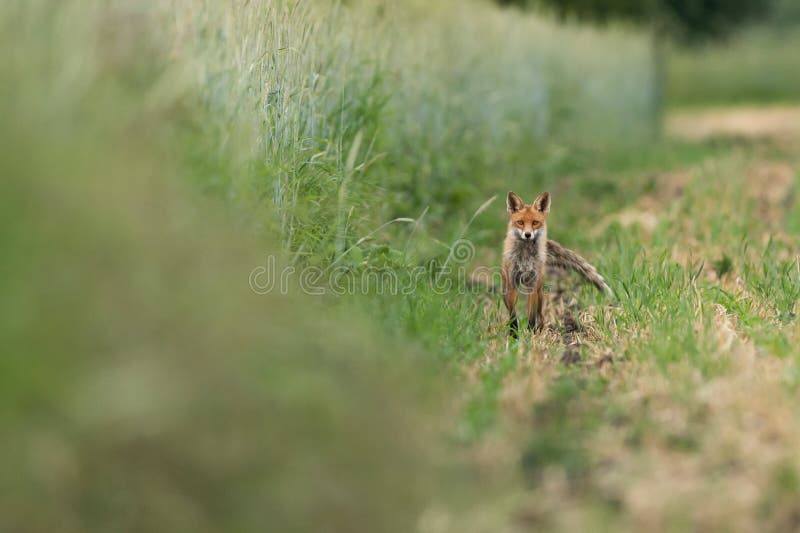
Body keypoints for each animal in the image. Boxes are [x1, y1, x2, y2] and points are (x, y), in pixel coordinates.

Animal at [502, 190, 611, 338]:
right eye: (520, 222)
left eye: (535, 223)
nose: (528, 234)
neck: (524, 256)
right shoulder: (512, 284)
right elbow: (513, 316)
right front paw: (514, 335)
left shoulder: (533, 285)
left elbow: (531, 316)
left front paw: (531, 335)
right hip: (506, 291)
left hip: (540, 294)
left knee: (540, 316)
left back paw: (540, 330)